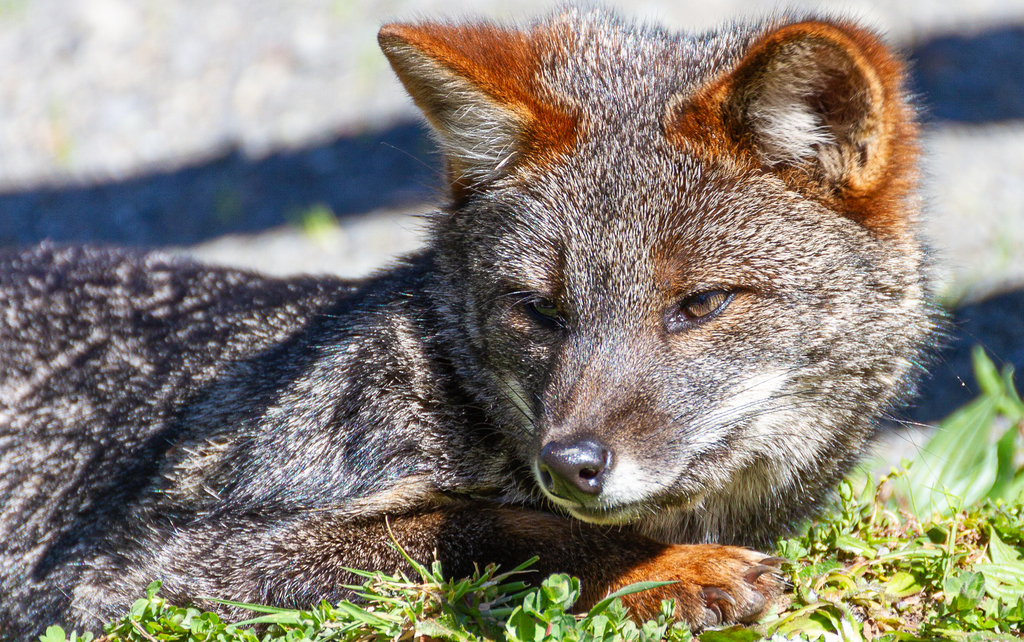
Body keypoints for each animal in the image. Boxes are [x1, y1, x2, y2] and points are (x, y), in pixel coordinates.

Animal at [0, 7, 936, 639]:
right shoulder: (141, 572)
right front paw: (666, 570)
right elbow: (482, 522)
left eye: (700, 305)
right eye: (540, 310)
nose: (570, 465)